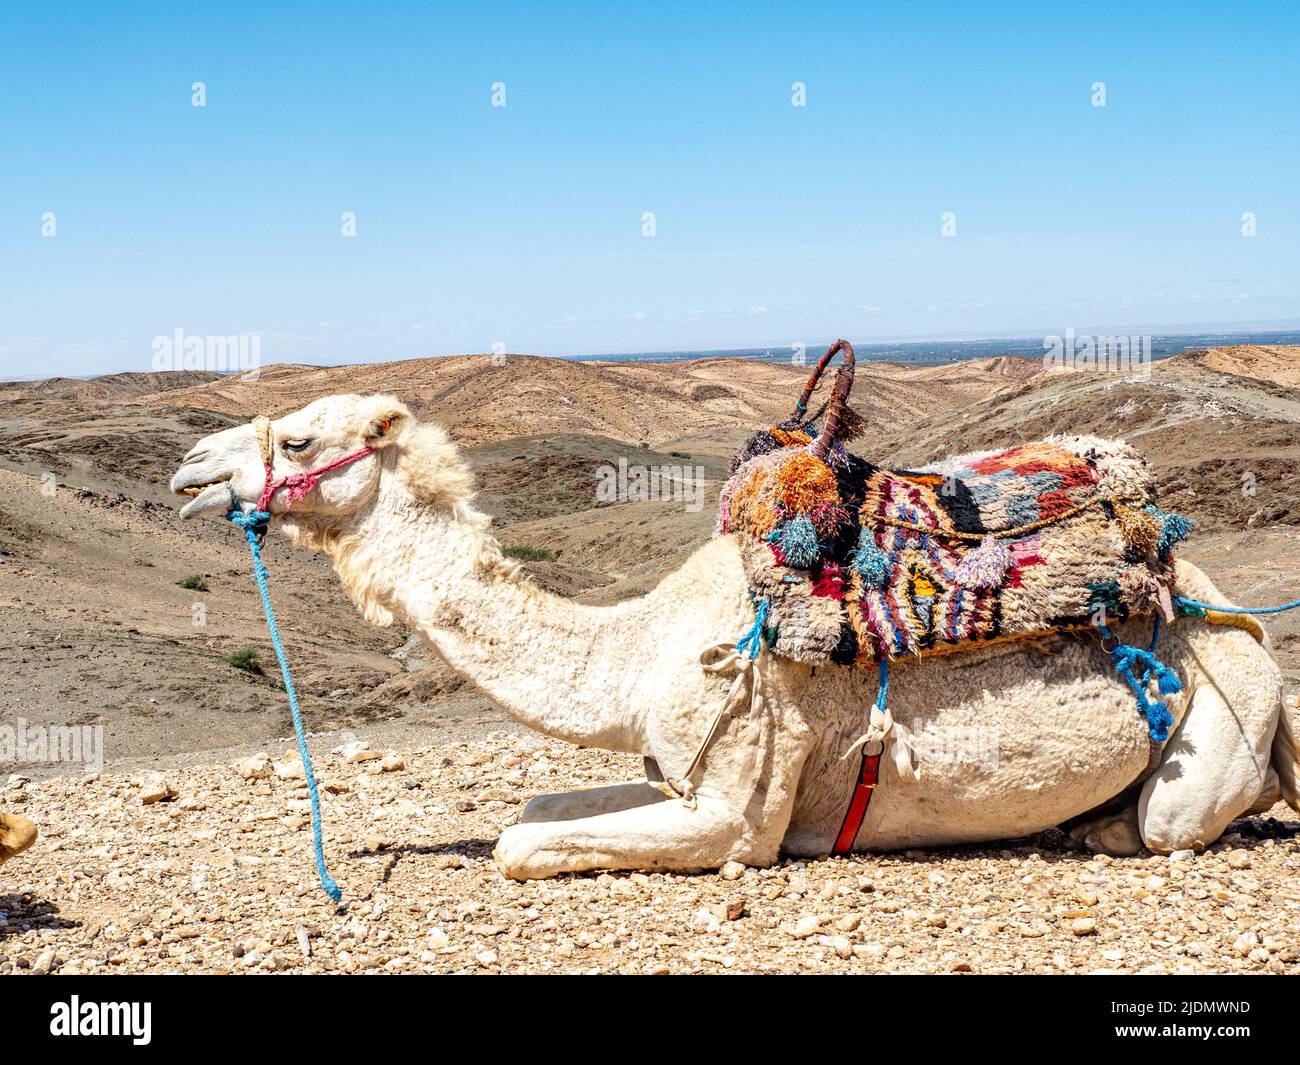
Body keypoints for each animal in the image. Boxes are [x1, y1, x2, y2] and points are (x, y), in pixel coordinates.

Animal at [171, 393, 1299, 879]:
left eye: (296, 438)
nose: (190, 471)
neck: (630, 653)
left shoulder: (734, 808)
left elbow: (520, 841)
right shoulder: (673, 764)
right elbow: (540, 805)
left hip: (1220, 711)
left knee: (1172, 820)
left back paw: (1097, 831)